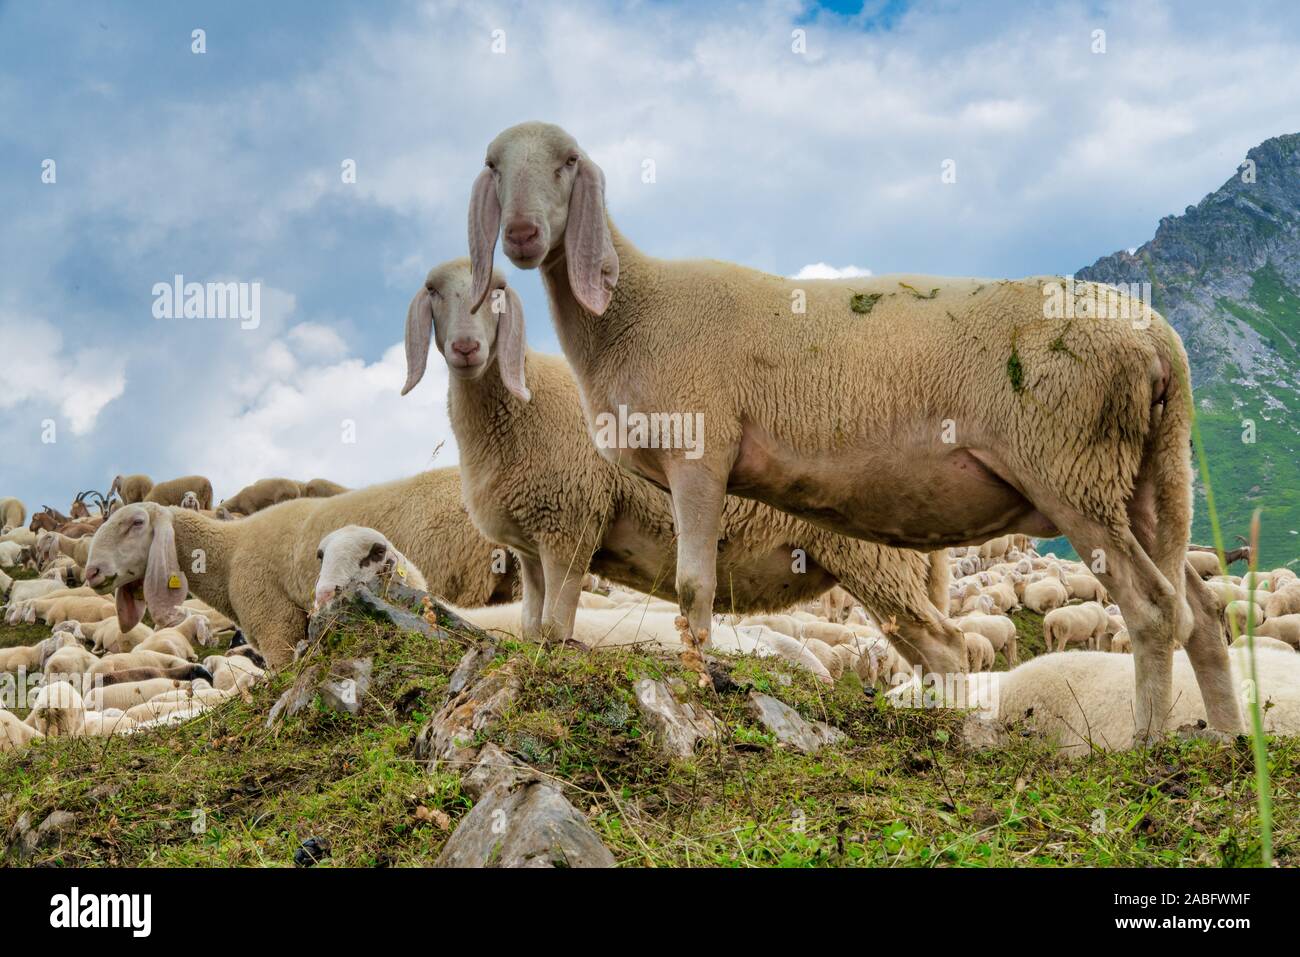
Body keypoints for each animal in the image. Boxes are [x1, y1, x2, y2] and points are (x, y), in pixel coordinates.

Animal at [402, 258, 962, 669]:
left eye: (498, 292)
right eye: (432, 291)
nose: (467, 347)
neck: (516, 409)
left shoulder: (570, 525)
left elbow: (557, 627)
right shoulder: (531, 545)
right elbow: (532, 627)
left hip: (878, 564)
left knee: (947, 647)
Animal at [466, 122, 1241, 737]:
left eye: (568, 161)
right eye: (494, 165)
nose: (524, 236)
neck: (637, 309)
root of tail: (1159, 340)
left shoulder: (700, 453)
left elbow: (691, 587)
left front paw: (698, 681)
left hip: (1074, 470)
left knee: (1153, 608)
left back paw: (1146, 744)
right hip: (1145, 479)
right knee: (1201, 612)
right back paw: (1228, 739)